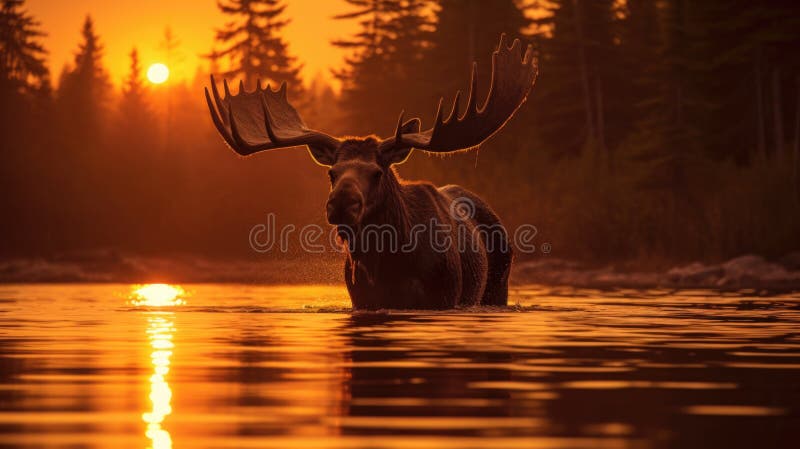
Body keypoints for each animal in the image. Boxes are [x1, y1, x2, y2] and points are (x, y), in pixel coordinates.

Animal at [204, 34, 538, 310]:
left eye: (377, 172)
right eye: (332, 173)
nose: (341, 203)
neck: (385, 265)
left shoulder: (443, 297)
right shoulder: (361, 298)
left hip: (497, 288)